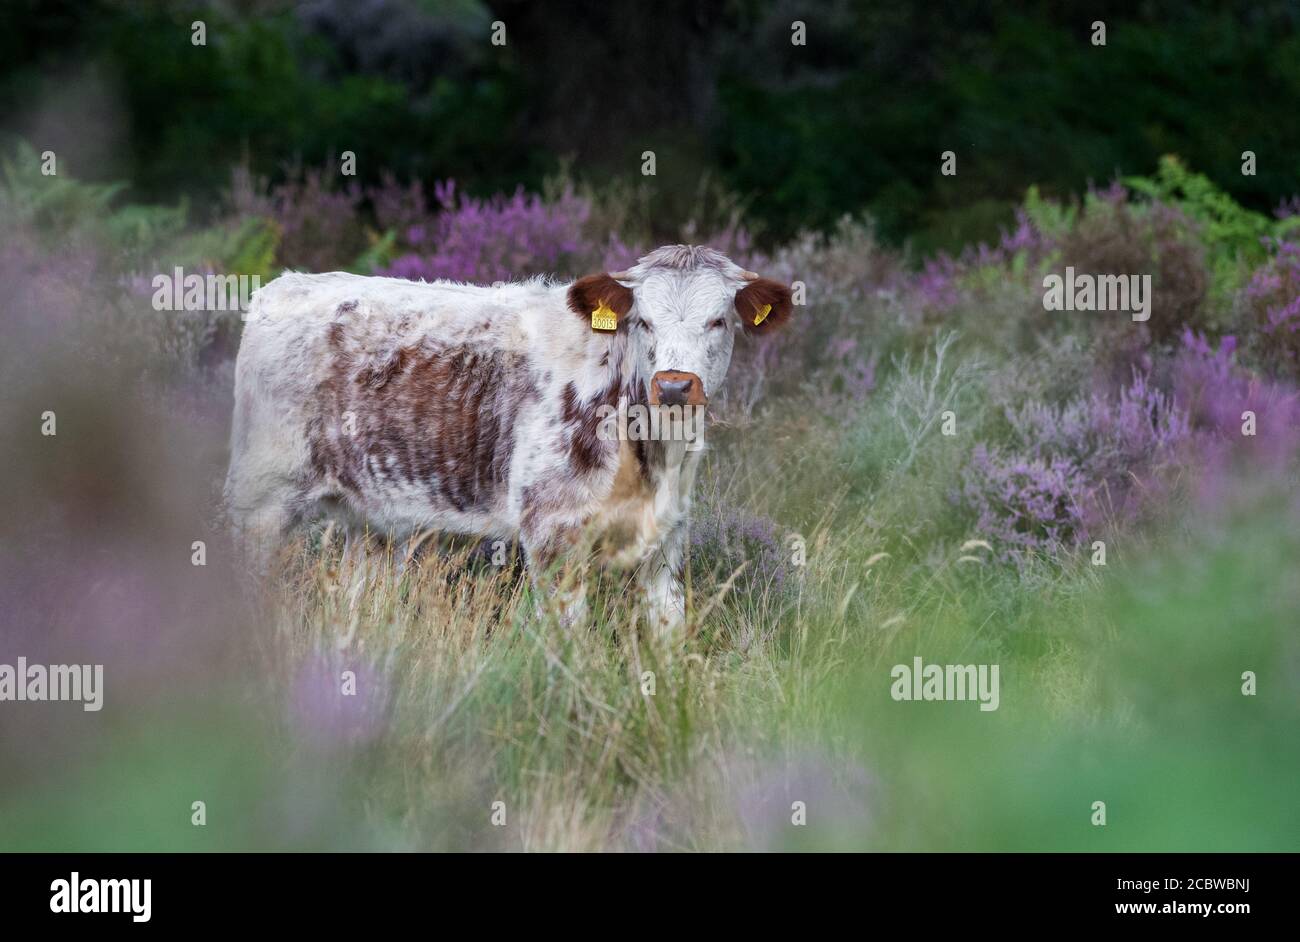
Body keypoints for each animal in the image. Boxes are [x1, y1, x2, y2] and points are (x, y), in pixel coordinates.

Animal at [224, 245, 793, 632]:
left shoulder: (666, 538)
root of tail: (285, 285)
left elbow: (667, 627)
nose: (674, 385)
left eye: (718, 321)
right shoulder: (552, 532)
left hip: (370, 520)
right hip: (260, 498)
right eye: (643, 321)